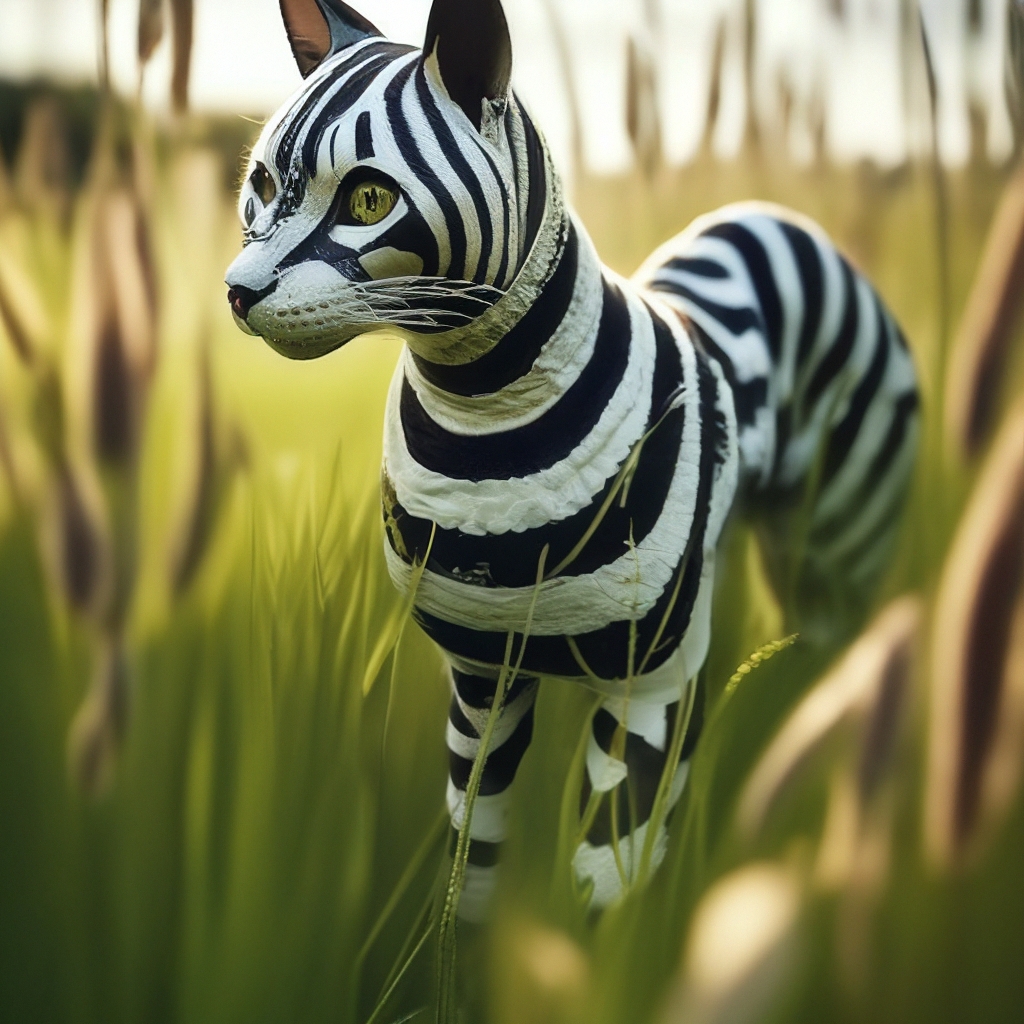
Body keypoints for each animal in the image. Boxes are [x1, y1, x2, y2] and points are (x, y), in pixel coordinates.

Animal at [225, 0, 919, 921]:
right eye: (264, 186)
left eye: (370, 197)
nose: (237, 294)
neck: (484, 421)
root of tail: (781, 219)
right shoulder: (480, 677)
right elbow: (470, 872)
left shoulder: (653, 691)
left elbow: (602, 903)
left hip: (838, 560)